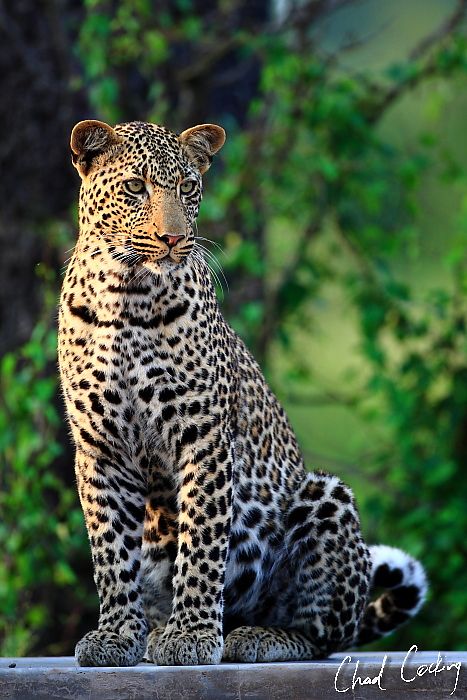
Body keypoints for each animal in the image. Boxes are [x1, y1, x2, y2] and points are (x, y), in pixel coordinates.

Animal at [58, 118, 427, 667]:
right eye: (135, 188)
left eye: (188, 187)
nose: (173, 238)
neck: (126, 294)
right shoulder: (101, 448)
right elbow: (110, 553)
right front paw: (116, 636)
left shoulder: (203, 437)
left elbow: (202, 542)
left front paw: (191, 637)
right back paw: (156, 632)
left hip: (327, 498)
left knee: (322, 636)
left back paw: (252, 637)